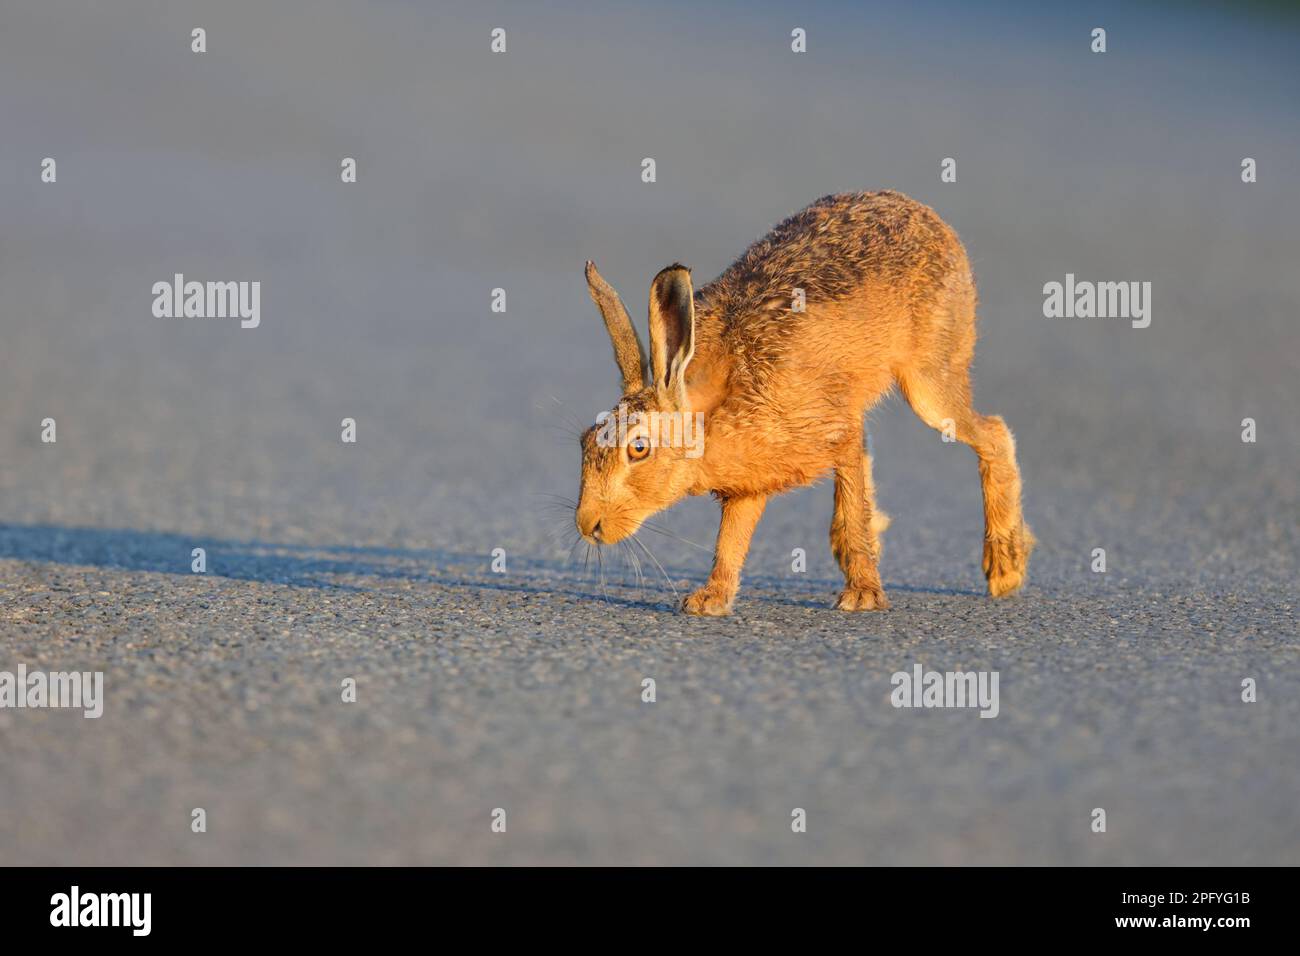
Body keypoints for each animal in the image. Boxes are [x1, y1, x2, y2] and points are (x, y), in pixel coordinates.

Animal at [576, 190, 1033, 615]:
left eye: (639, 448)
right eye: (585, 440)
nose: (588, 524)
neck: (708, 409)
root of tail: (929, 219)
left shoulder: (832, 431)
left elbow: (849, 496)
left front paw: (863, 596)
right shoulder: (749, 482)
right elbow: (731, 540)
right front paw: (710, 600)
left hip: (929, 381)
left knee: (992, 432)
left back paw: (1005, 569)